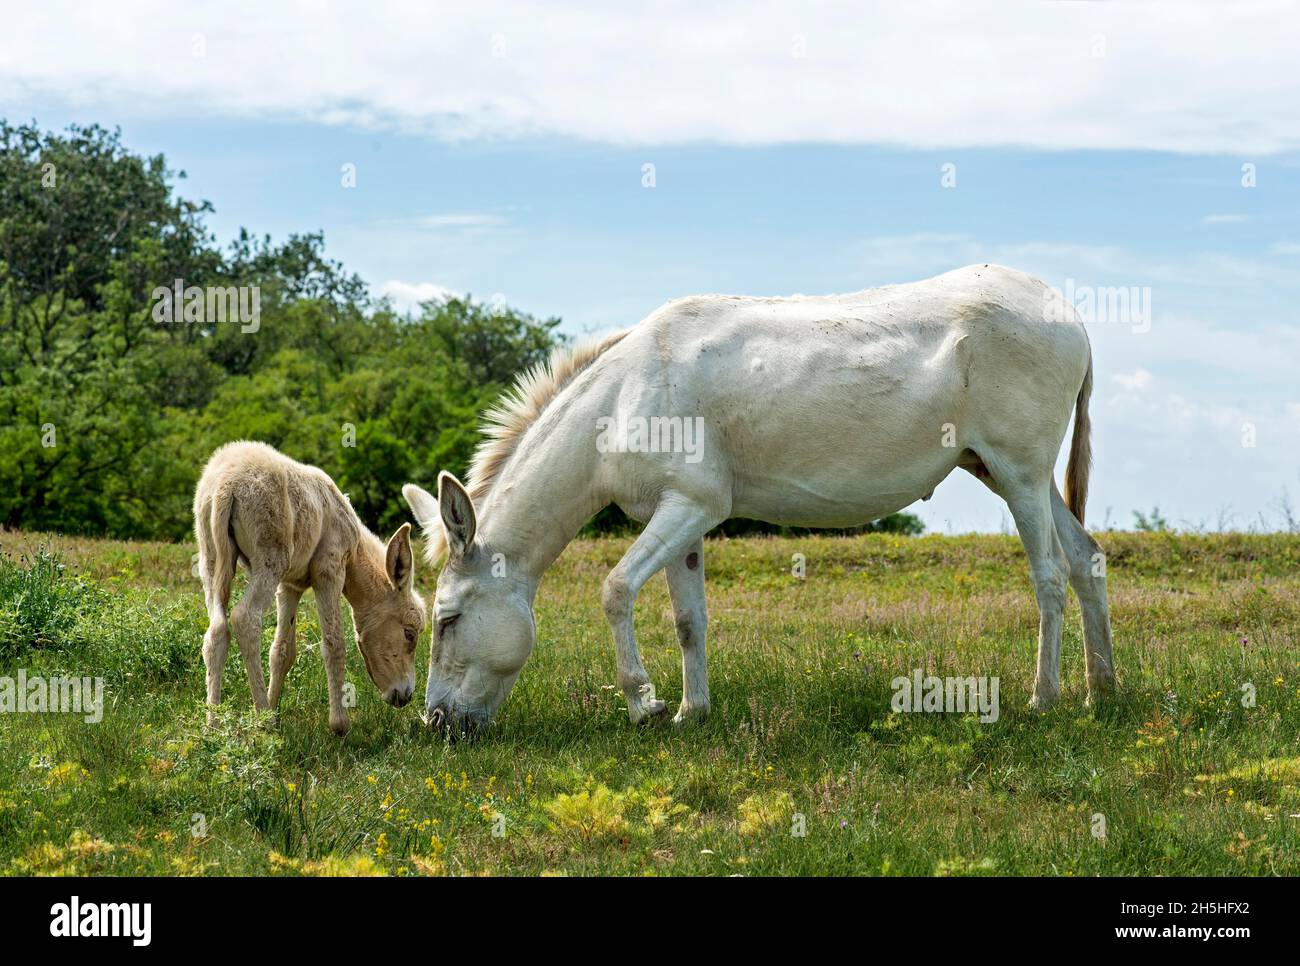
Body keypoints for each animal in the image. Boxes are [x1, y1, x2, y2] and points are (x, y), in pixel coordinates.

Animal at [401, 264, 1115, 735]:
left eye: (448, 621)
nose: (436, 725)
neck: (623, 398)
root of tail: (1068, 312)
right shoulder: (682, 520)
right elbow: (689, 619)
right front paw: (690, 714)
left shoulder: (691, 505)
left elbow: (614, 589)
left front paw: (644, 704)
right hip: (1005, 472)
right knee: (1086, 560)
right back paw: (1100, 693)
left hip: (1019, 473)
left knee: (1049, 578)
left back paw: (1044, 700)